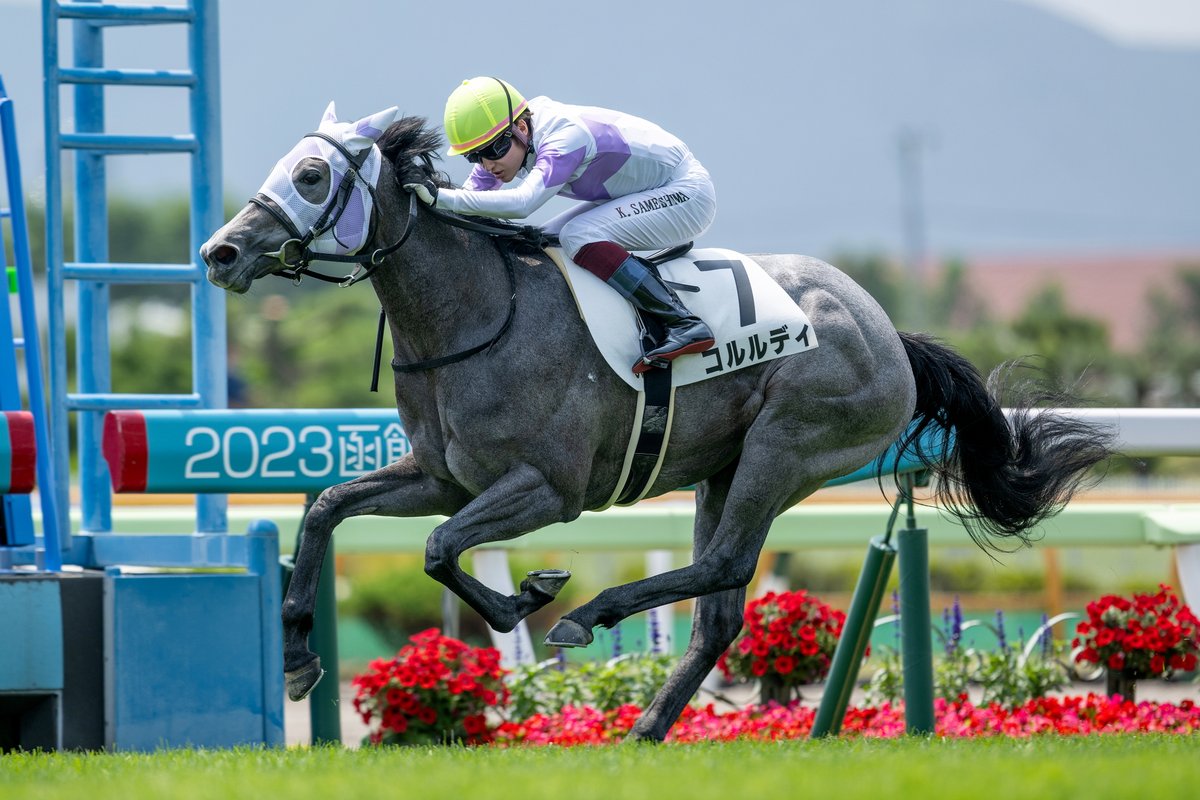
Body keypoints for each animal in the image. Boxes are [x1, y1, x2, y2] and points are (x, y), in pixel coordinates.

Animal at [201, 104, 1114, 742]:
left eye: (310, 177)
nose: (219, 253)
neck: (475, 314)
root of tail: (887, 329)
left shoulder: (548, 489)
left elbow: (438, 550)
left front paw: (529, 596)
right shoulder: (442, 476)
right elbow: (330, 508)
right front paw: (295, 654)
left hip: (785, 448)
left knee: (723, 564)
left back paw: (594, 616)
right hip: (722, 466)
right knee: (718, 606)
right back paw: (645, 726)